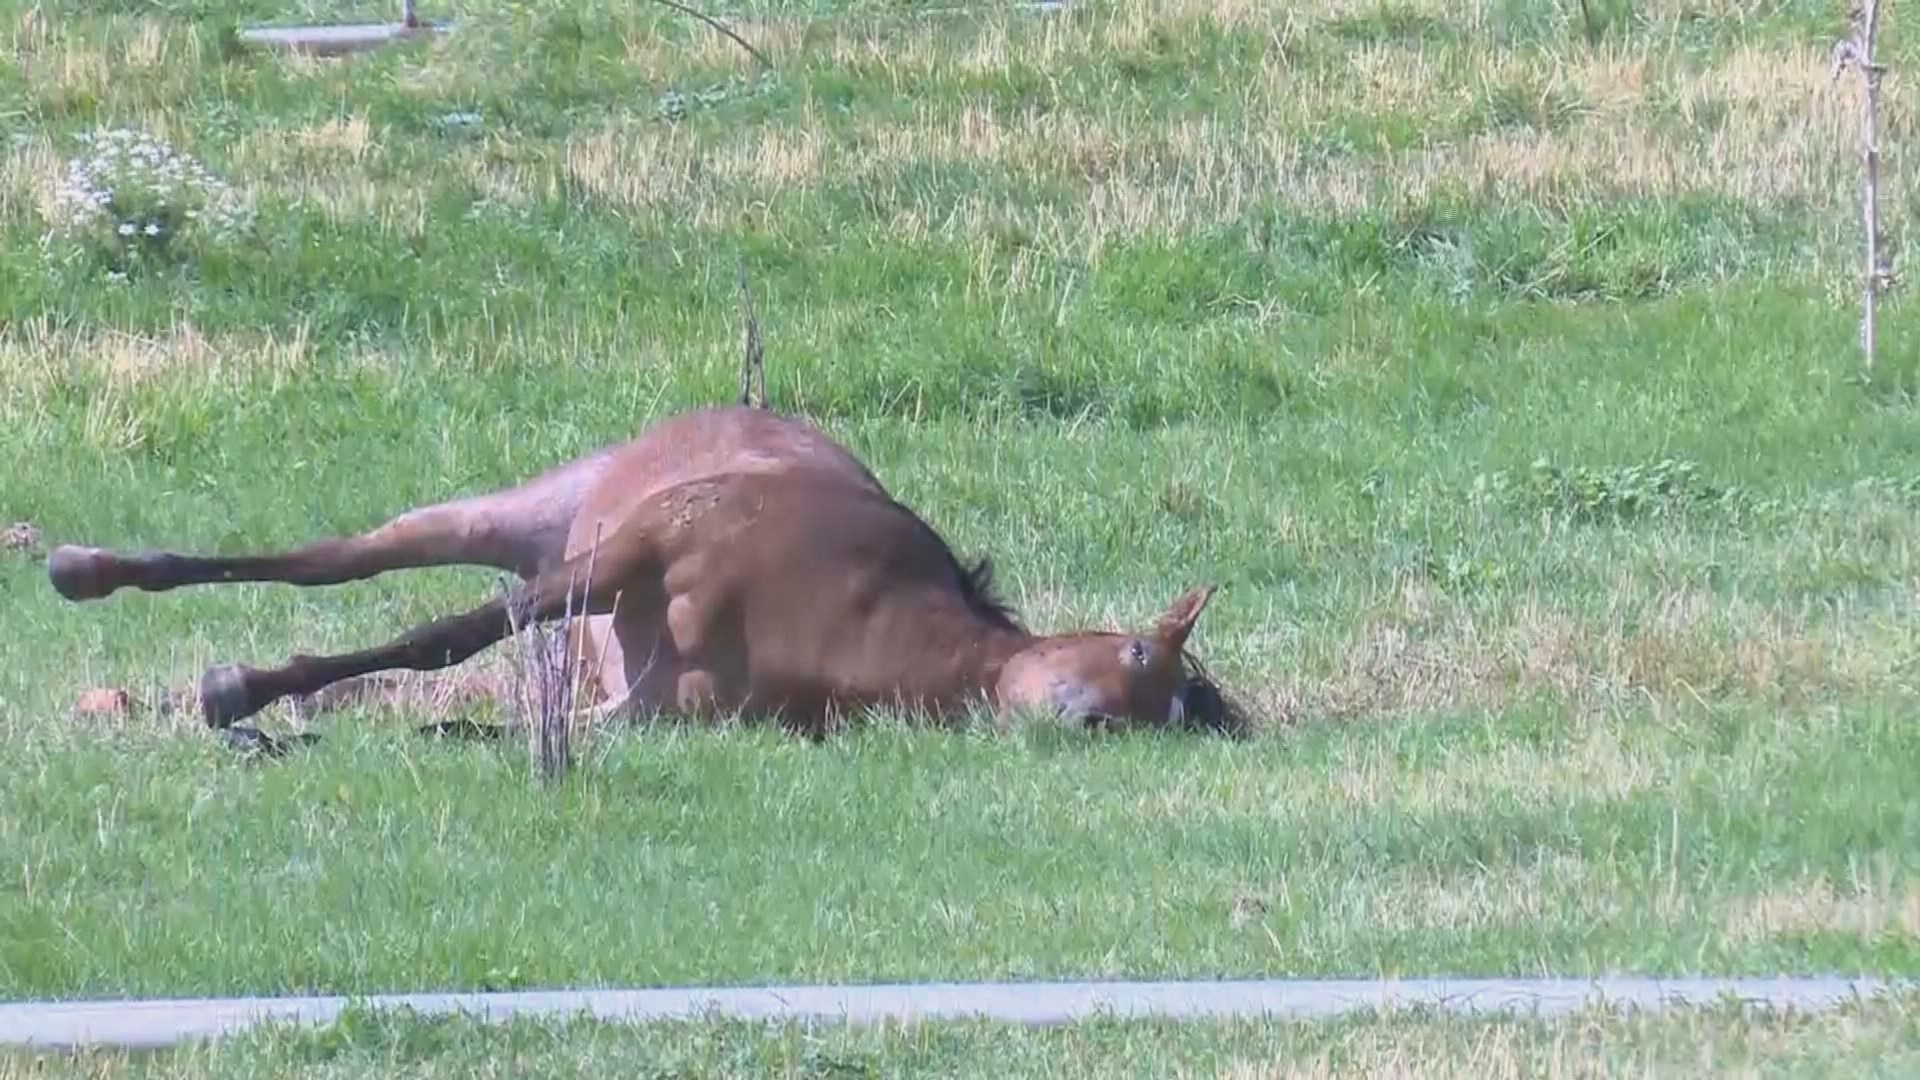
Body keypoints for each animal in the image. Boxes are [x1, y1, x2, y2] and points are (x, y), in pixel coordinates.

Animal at [46, 405, 1248, 745]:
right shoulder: (642, 549)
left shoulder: (645, 709)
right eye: (1136, 652)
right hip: (533, 521)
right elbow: (451, 637)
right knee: (333, 563)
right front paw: (235, 690)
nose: (1089, 720)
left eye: (1163, 715)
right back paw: (84, 568)